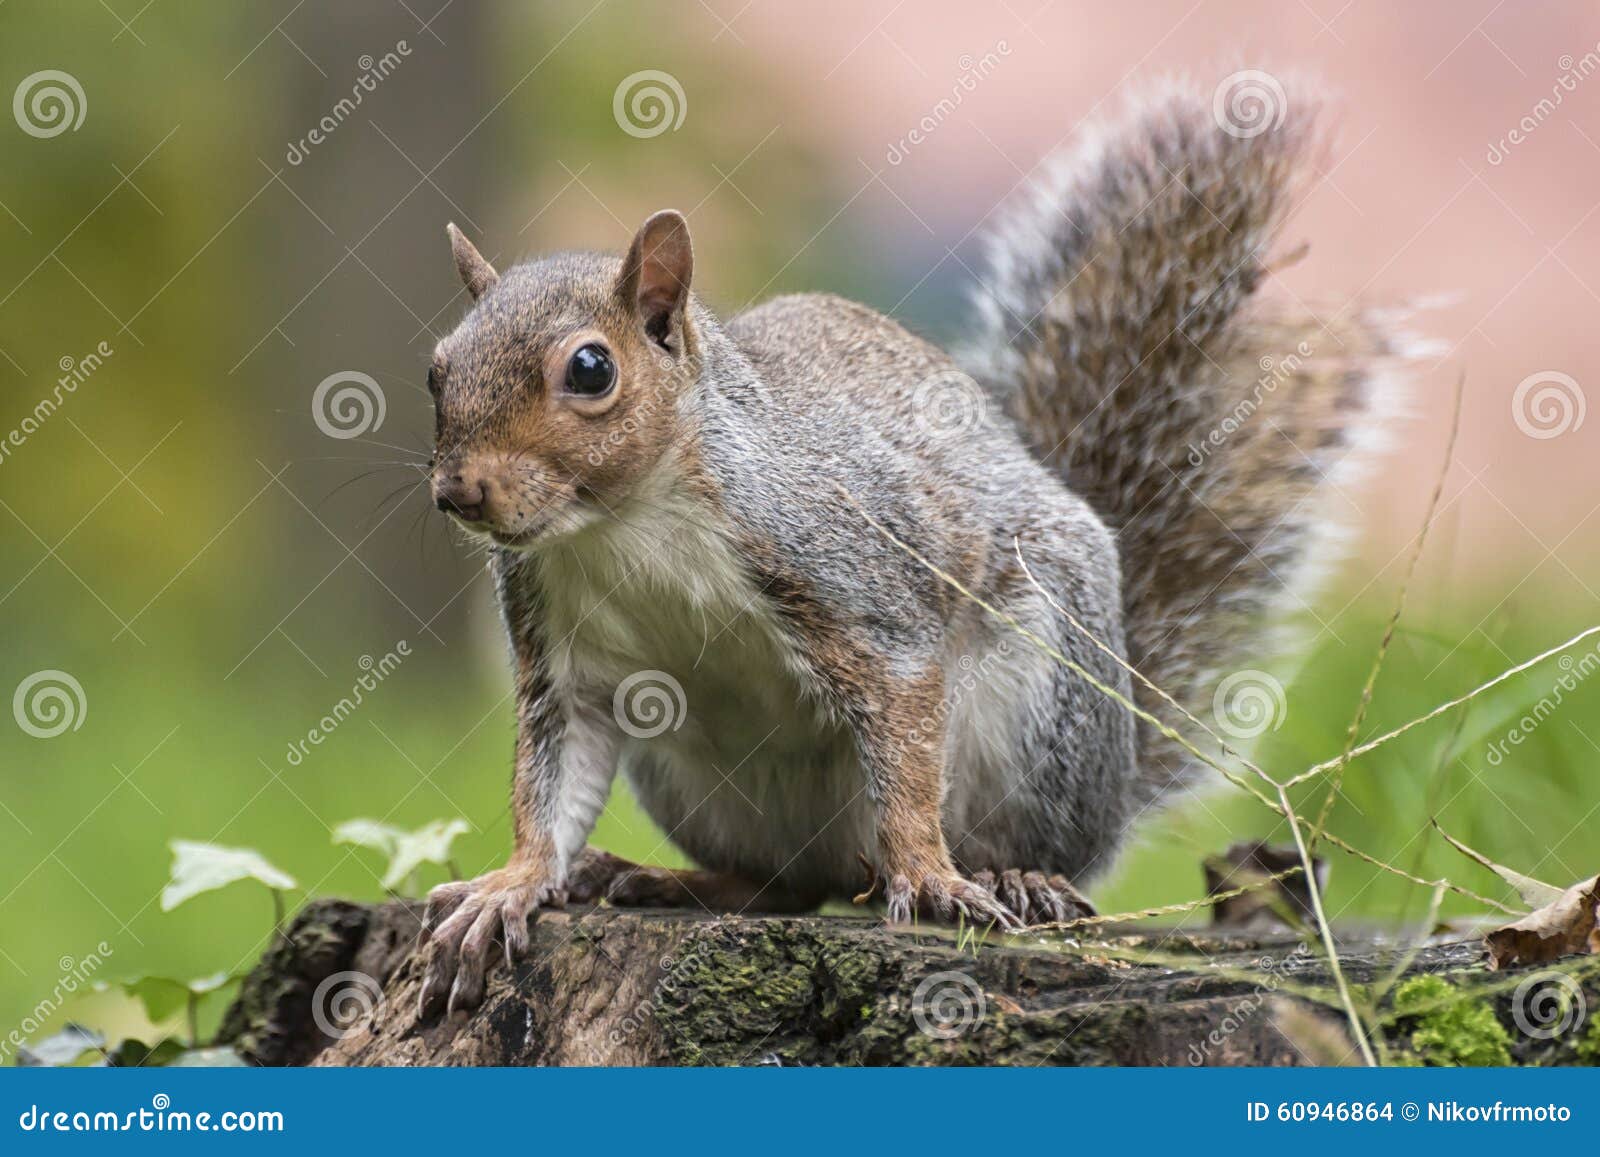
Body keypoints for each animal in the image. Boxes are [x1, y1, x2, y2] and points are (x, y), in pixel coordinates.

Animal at [415, 79, 1415, 1014]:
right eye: (435, 368)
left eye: (591, 369)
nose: (456, 491)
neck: (625, 521)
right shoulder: (565, 656)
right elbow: (548, 783)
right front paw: (512, 886)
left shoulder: (850, 579)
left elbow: (902, 742)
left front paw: (931, 877)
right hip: (697, 779)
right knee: (785, 887)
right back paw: (667, 878)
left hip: (1040, 708)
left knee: (1022, 851)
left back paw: (1015, 876)